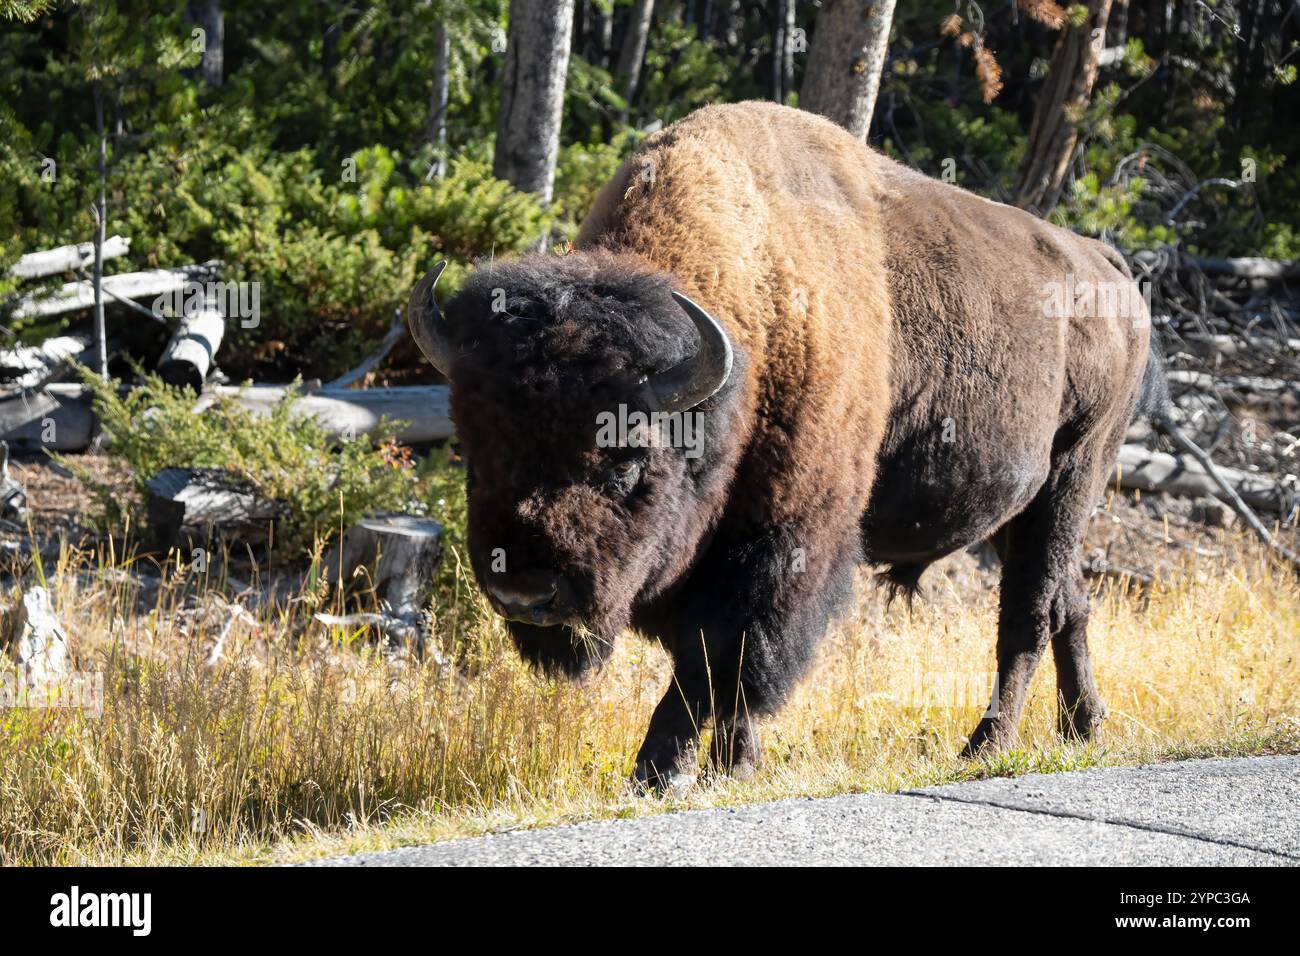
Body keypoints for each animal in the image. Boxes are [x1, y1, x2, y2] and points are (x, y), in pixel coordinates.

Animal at [408, 102, 1156, 791]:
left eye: (626, 462)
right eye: (475, 451)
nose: (524, 592)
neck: (756, 316)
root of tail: (1108, 265)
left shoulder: (783, 541)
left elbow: (722, 656)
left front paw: (659, 773)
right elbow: (712, 662)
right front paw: (735, 764)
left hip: (1074, 476)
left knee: (1026, 614)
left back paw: (987, 744)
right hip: (1018, 511)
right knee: (1068, 602)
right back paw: (1083, 726)